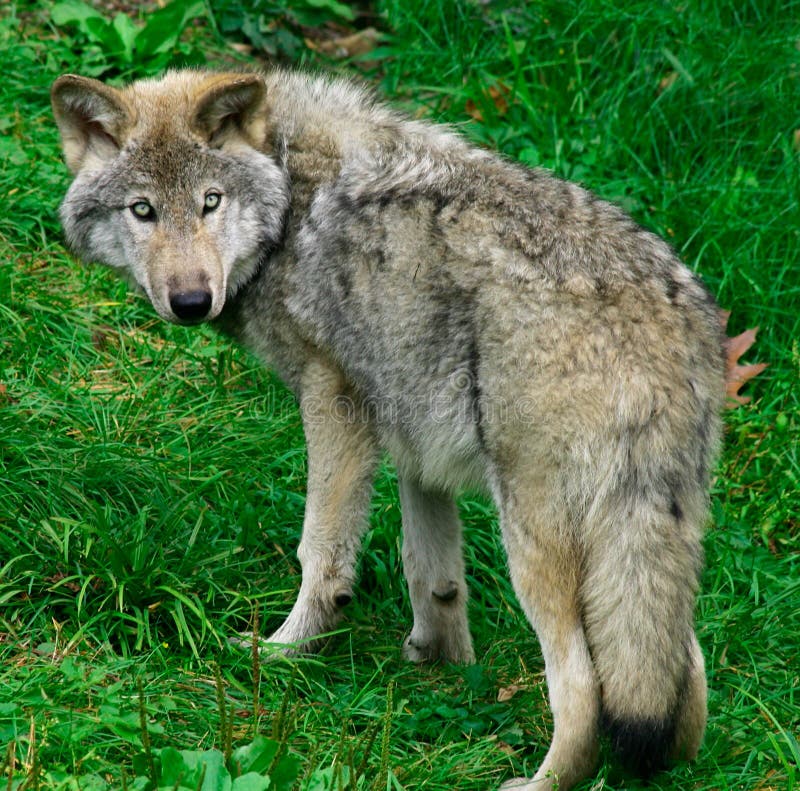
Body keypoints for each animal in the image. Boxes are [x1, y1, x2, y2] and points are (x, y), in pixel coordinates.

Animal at [52, 68, 725, 790]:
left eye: (210, 202)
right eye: (142, 210)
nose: (190, 301)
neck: (288, 194)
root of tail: (667, 316)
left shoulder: (333, 401)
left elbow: (321, 554)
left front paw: (282, 652)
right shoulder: (413, 430)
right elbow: (431, 570)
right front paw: (441, 661)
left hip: (539, 543)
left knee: (582, 684)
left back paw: (543, 779)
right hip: (639, 548)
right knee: (680, 663)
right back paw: (670, 766)